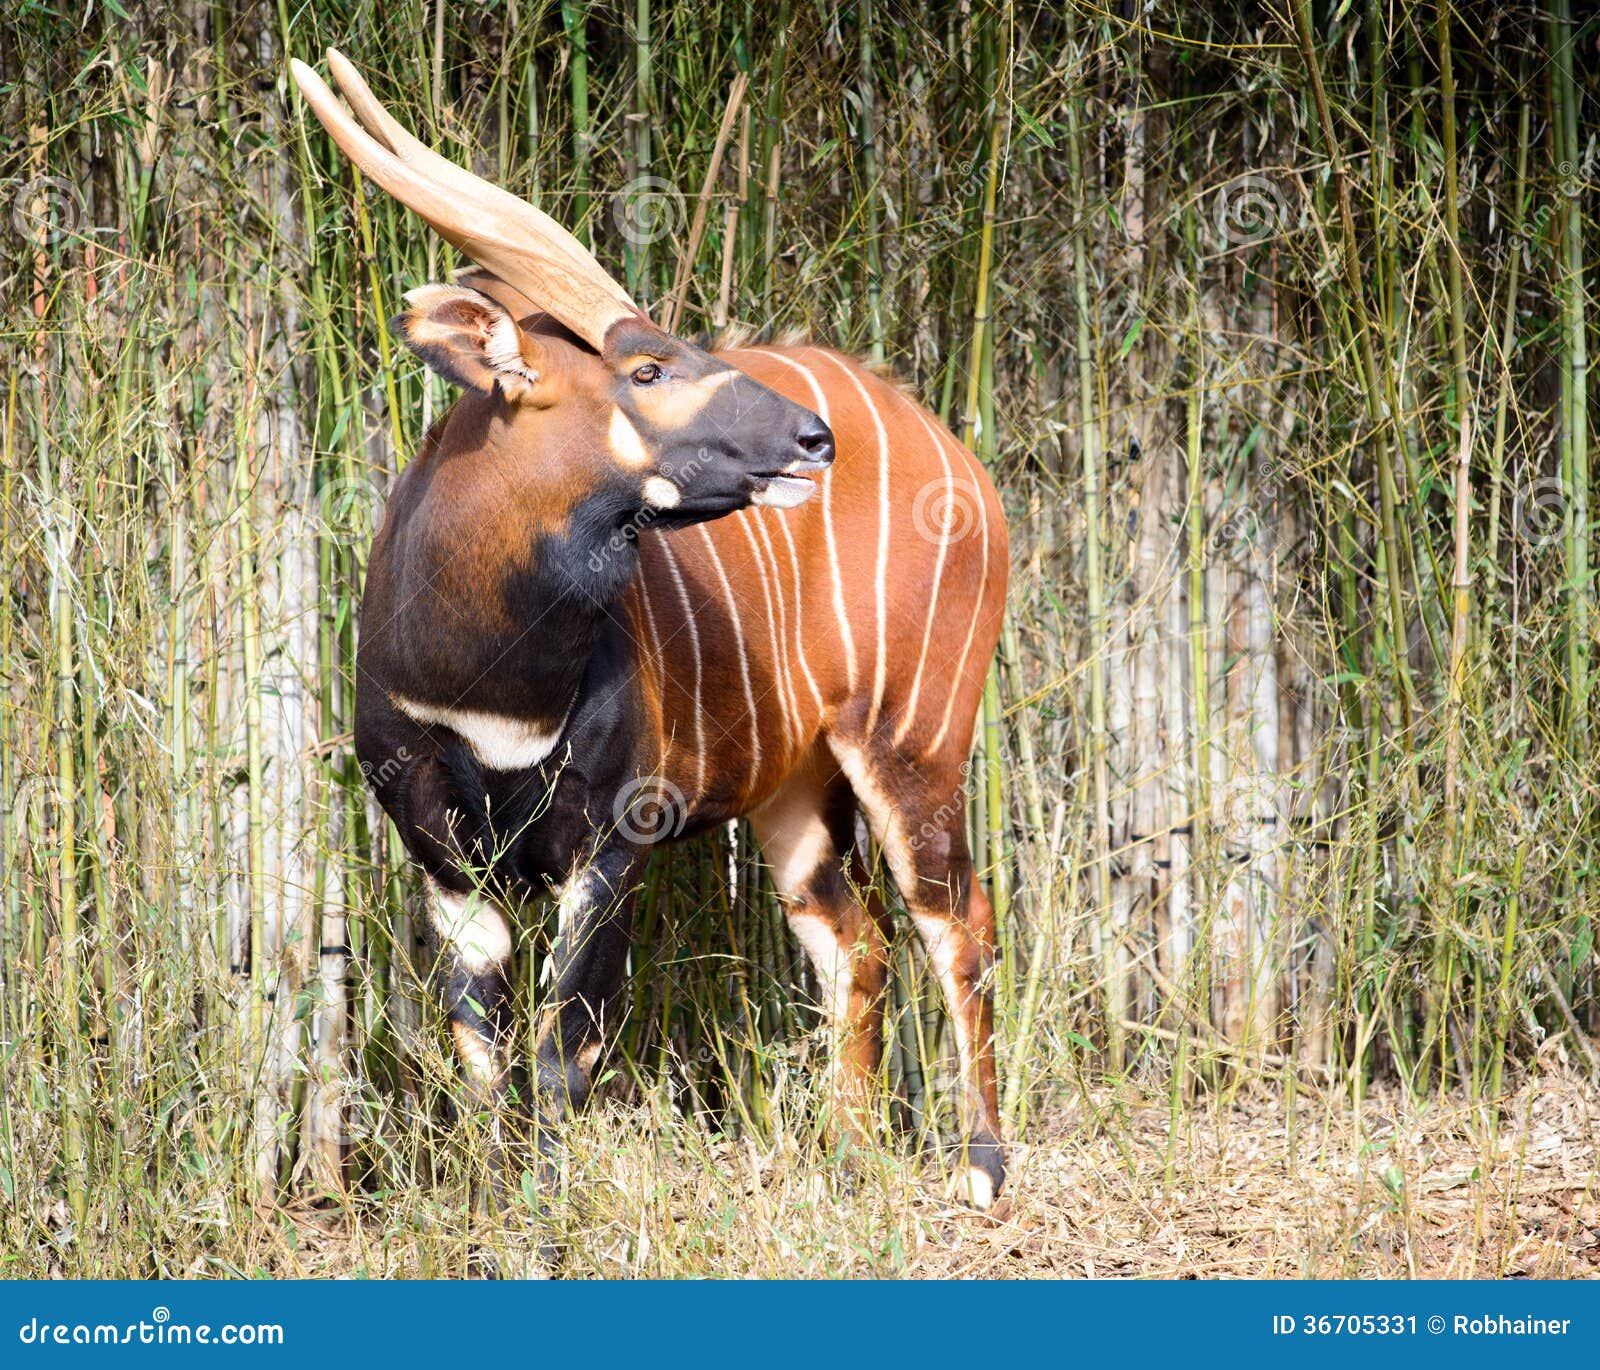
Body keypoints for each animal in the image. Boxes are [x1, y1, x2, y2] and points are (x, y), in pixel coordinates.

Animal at [290, 51, 1009, 1213]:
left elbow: (563, 1044)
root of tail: (954, 451)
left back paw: (981, 1166)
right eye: (648, 371)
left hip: (914, 740)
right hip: (794, 785)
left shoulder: (613, 839)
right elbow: (480, 1045)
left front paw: (549, 1212)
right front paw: (498, 1205)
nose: (813, 439)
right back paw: (847, 1153)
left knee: (956, 924)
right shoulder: (444, 857)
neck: (491, 687)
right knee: (852, 939)